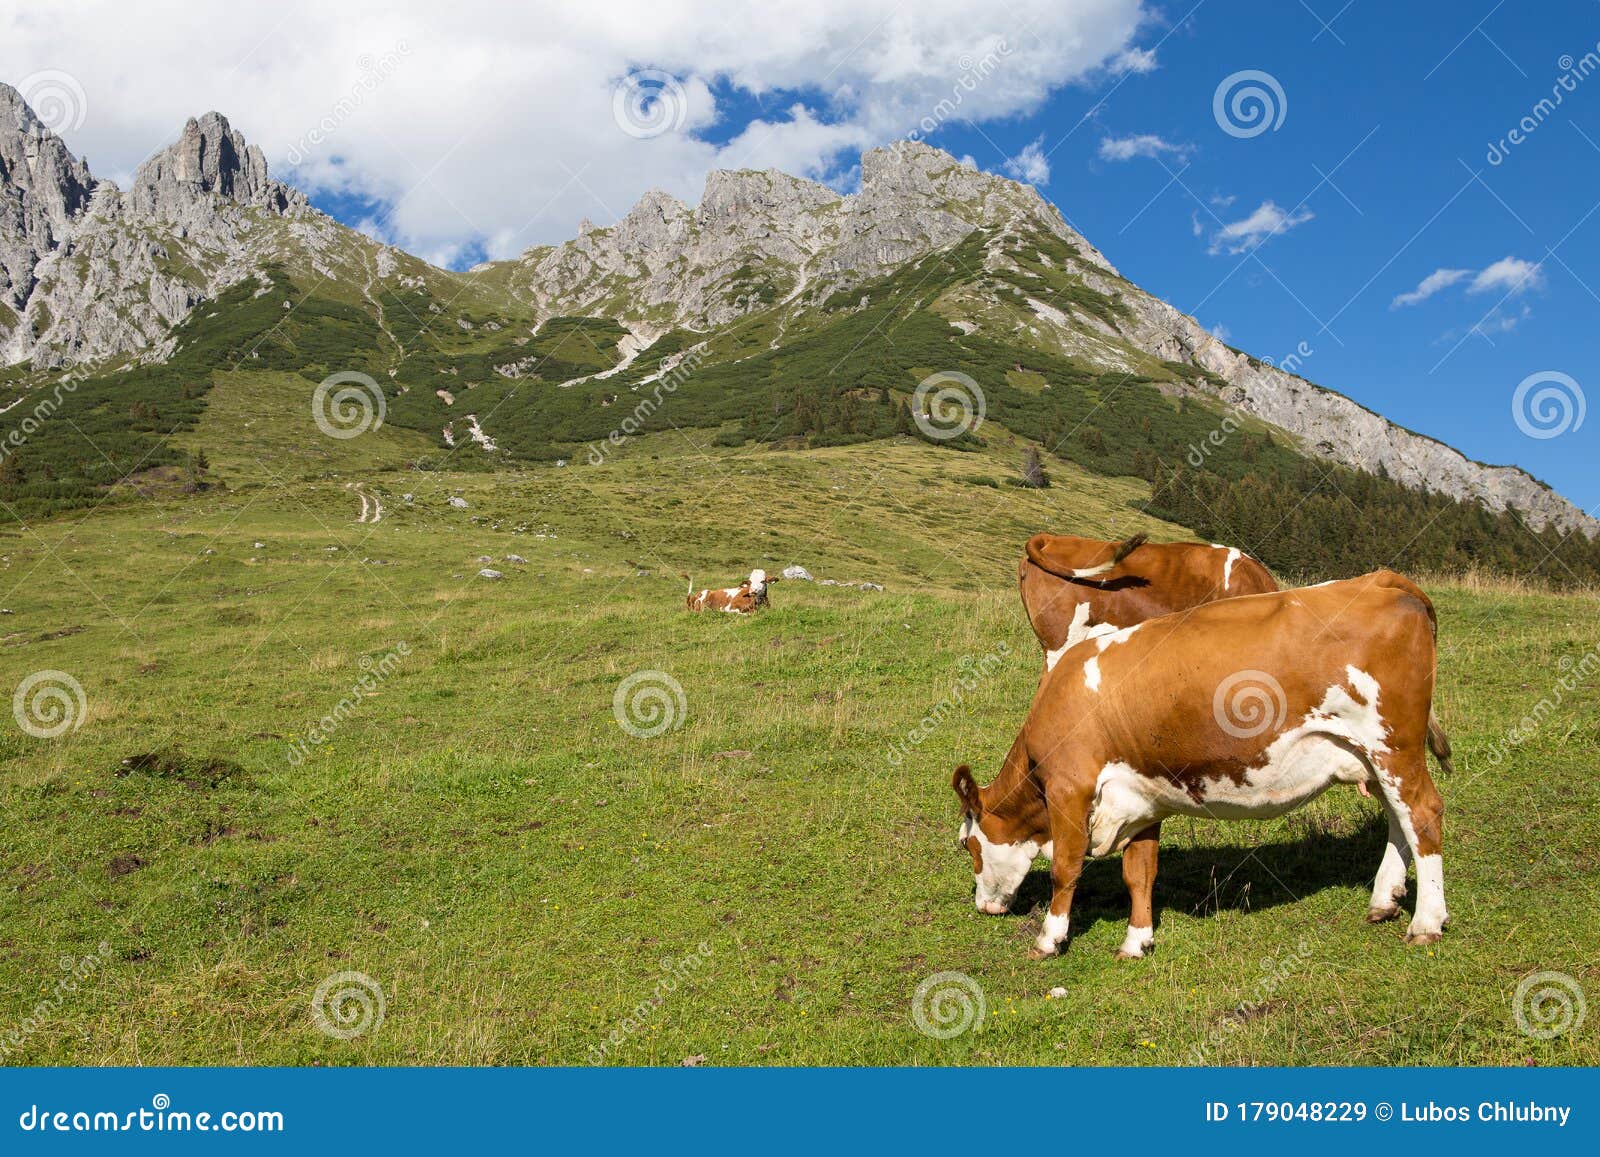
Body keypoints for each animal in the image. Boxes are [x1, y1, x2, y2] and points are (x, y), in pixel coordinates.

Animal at [953, 571, 1453, 963]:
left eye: (968, 845)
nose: (982, 906)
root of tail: (1381, 579)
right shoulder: (1140, 799)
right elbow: (1140, 873)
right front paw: (1136, 942)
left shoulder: (1069, 787)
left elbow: (1065, 868)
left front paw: (1048, 939)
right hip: (1377, 755)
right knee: (1398, 819)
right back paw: (1385, 900)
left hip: (1393, 745)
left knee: (1422, 813)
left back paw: (1426, 923)